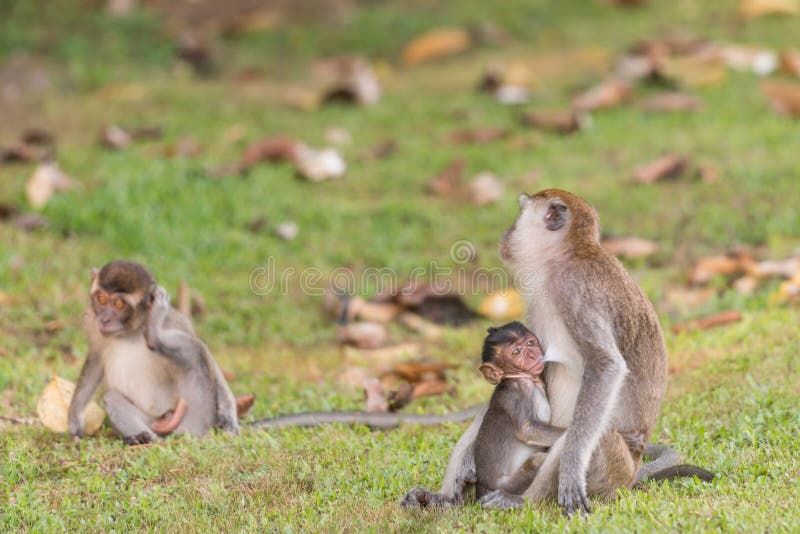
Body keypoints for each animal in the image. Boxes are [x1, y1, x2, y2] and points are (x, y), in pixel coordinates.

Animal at [68, 260, 239, 444]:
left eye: (119, 304)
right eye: (102, 299)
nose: (105, 319)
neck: (132, 332)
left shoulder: (173, 322)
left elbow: (206, 354)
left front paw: (228, 416)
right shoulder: (92, 322)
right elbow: (96, 360)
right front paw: (75, 417)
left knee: (197, 353)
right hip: (151, 421)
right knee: (112, 397)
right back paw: (144, 438)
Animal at [404, 189, 713, 514]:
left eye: (519, 214)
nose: (506, 234)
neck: (569, 255)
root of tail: (631, 474)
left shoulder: (574, 291)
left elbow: (606, 366)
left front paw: (570, 470)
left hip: (612, 468)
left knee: (588, 432)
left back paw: (523, 501)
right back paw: (446, 498)